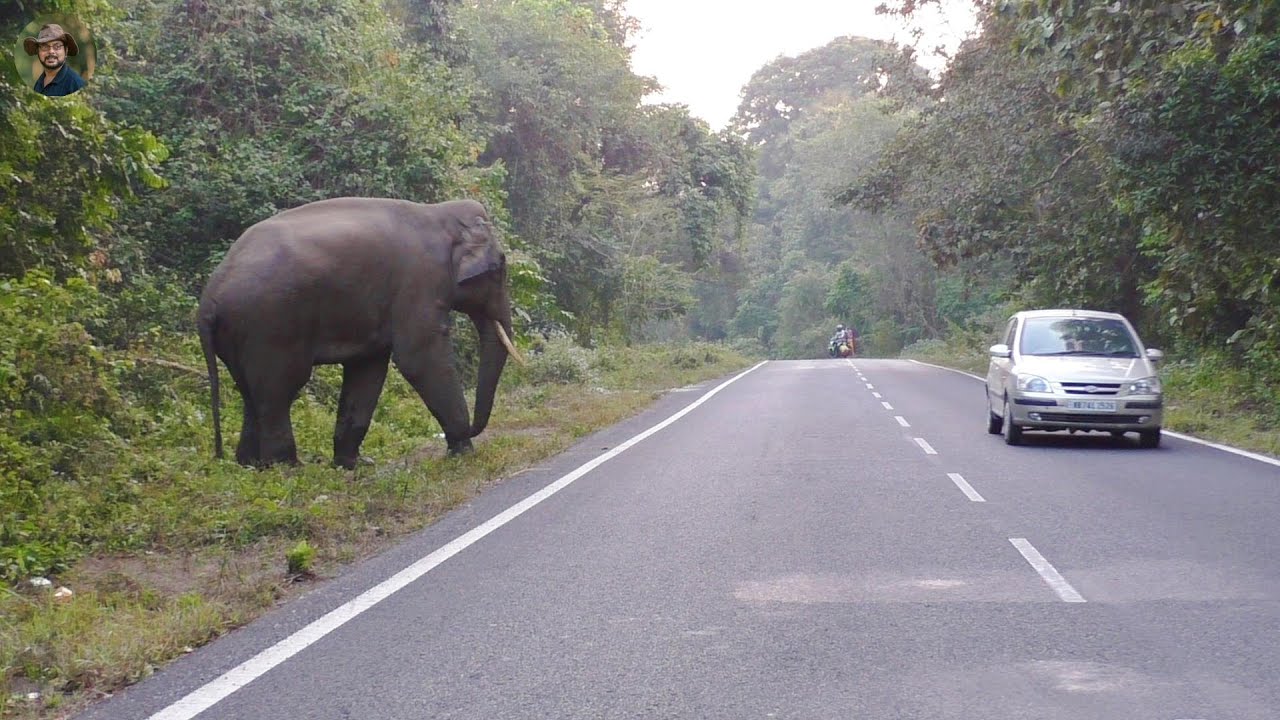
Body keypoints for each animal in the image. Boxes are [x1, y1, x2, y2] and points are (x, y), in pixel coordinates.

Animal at [196, 197, 524, 469]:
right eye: (500, 265)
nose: (471, 430)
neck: (438, 212)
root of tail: (208, 300)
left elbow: (368, 368)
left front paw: (354, 464)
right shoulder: (420, 280)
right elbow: (417, 357)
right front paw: (464, 450)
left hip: (239, 333)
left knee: (249, 393)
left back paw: (251, 466)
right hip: (269, 325)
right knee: (279, 389)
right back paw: (288, 468)